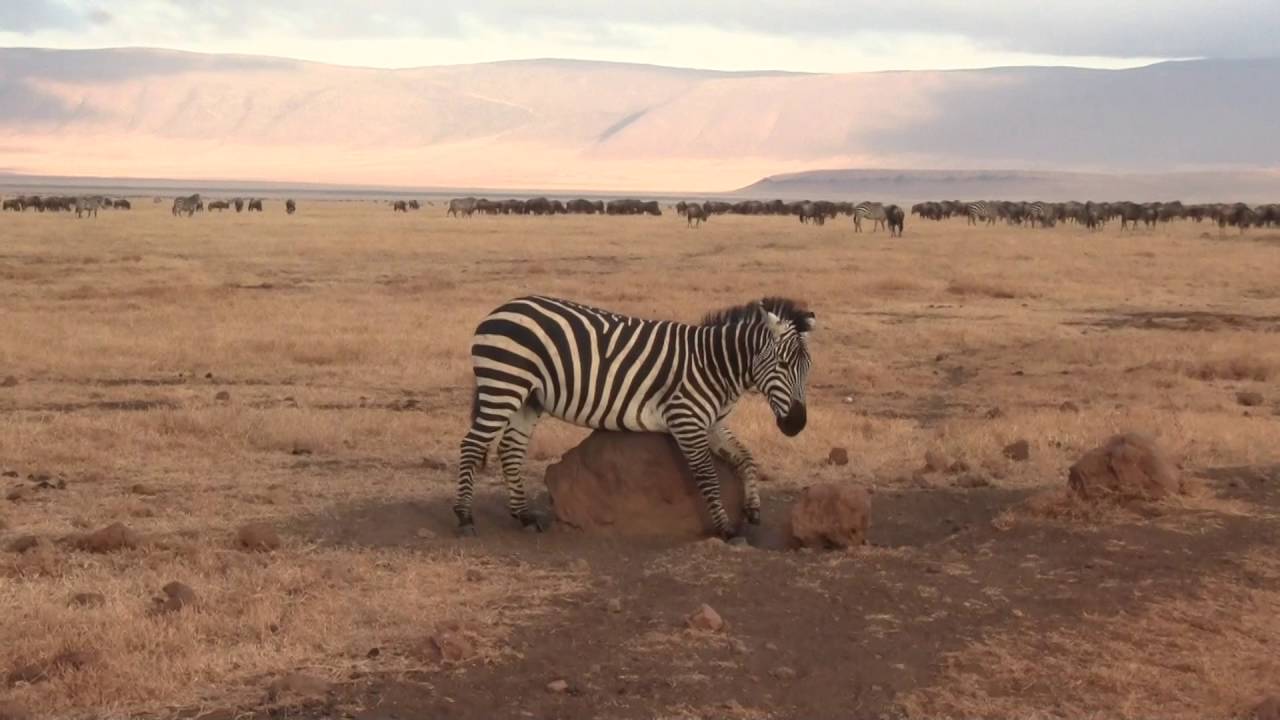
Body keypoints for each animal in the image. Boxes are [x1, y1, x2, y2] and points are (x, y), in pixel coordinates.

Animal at [454, 295, 816, 540]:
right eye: (783, 365)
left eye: (807, 368)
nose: (796, 424)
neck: (713, 366)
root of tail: (501, 309)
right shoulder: (686, 420)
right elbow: (708, 477)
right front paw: (725, 528)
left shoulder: (712, 423)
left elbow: (746, 458)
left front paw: (752, 508)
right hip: (504, 385)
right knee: (471, 445)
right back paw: (465, 518)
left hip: (528, 398)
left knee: (510, 450)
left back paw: (524, 516)